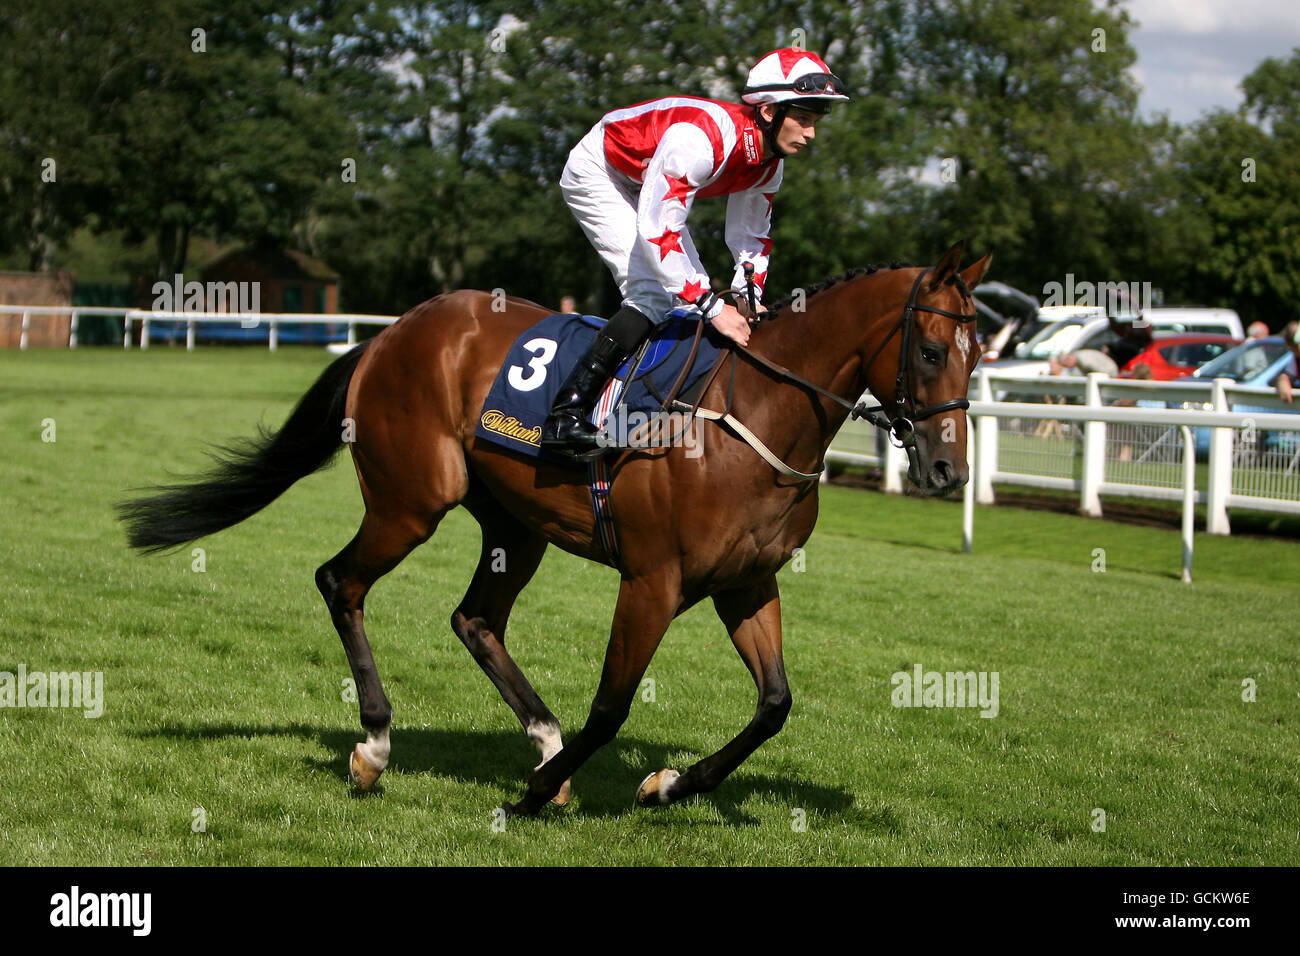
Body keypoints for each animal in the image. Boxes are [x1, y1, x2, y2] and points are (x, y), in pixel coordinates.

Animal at [118, 241, 991, 816]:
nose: (950, 471)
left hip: (515, 525)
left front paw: (667, 783)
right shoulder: (653, 581)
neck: (753, 416)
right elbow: (611, 706)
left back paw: (541, 740)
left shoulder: (746, 582)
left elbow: (774, 703)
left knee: (474, 619)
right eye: (930, 347)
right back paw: (376, 745)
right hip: (411, 501)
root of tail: (391, 332)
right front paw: (534, 794)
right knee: (342, 581)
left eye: (979, 354)